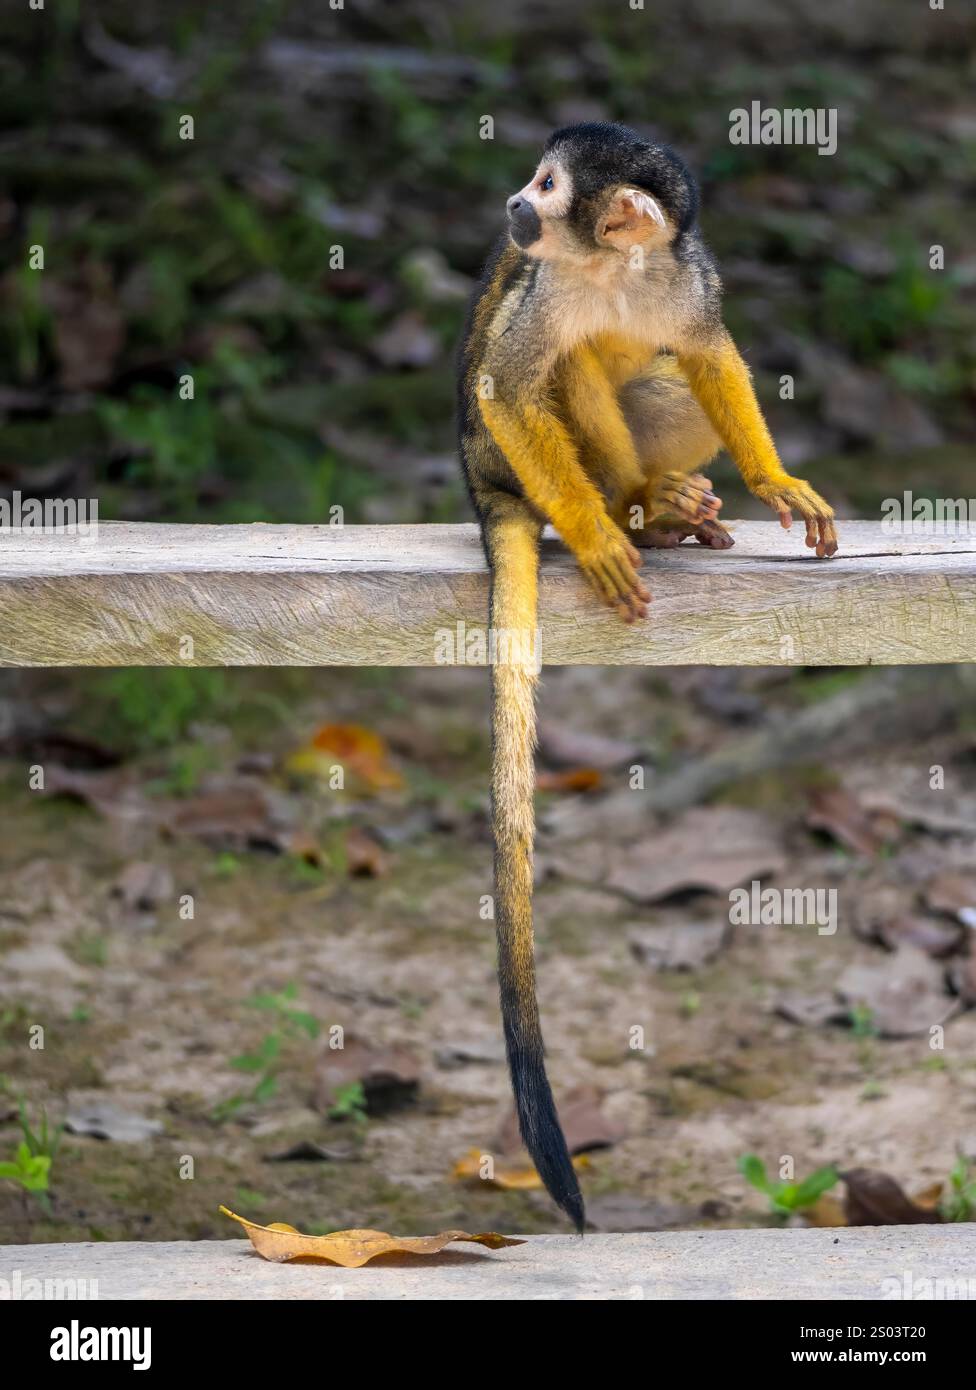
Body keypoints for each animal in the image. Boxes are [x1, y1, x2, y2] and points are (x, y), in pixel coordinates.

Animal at [456, 122, 838, 1231]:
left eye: (548, 185)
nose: (513, 204)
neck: (611, 270)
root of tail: (479, 486)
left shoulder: (684, 274)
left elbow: (706, 352)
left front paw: (773, 478)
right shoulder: (545, 287)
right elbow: (511, 384)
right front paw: (594, 535)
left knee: (661, 368)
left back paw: (662, 505)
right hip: (504, 461)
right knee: (559, 371)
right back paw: (627, 512)